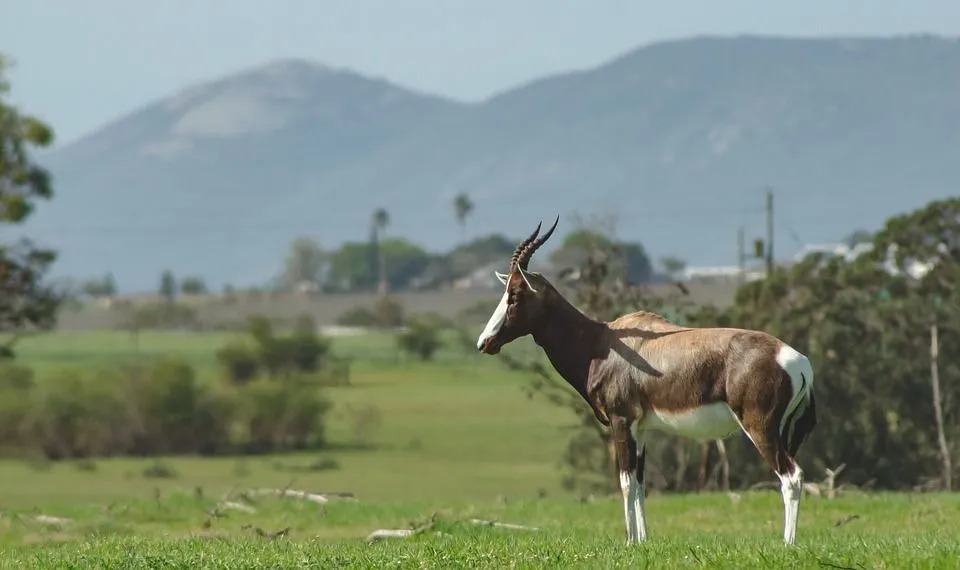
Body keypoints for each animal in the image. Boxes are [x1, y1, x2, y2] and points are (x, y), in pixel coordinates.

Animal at [476, 216, 812, 540]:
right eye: (505, 292)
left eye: (515, 296)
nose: (484, 342)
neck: (602, 342)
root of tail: (797, 360)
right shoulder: (643, 427)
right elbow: (639, 482)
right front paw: (643, 540)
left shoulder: (621, 420)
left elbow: (625, 482)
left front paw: (629, 541)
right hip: (782, 431)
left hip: (759, 426)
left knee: (791, 476)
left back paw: (787, 543)